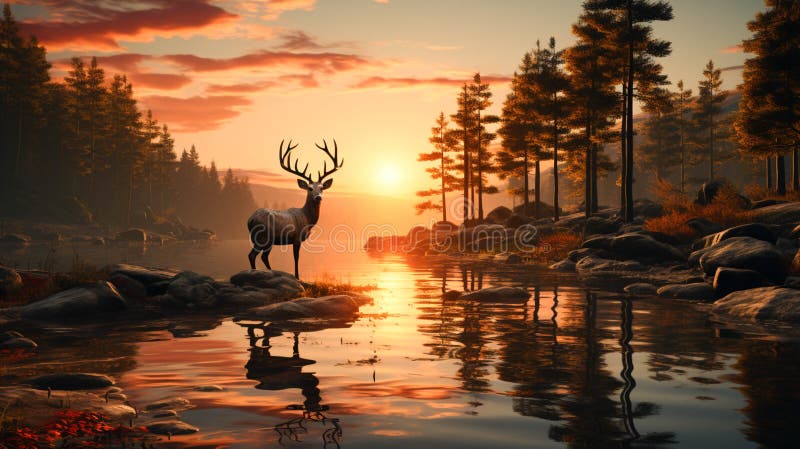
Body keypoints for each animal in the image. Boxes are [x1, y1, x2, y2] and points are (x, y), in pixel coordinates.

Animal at [247, 139, 343, 279]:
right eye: (310, 188)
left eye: (321, 188)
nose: (318, 197)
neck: (307, 220)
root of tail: (250, 219)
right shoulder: (297, 237)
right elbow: (296, 258)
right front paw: (297, 277)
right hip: (264, 237)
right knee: (253, 255)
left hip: (263, 239)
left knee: (262, 256)